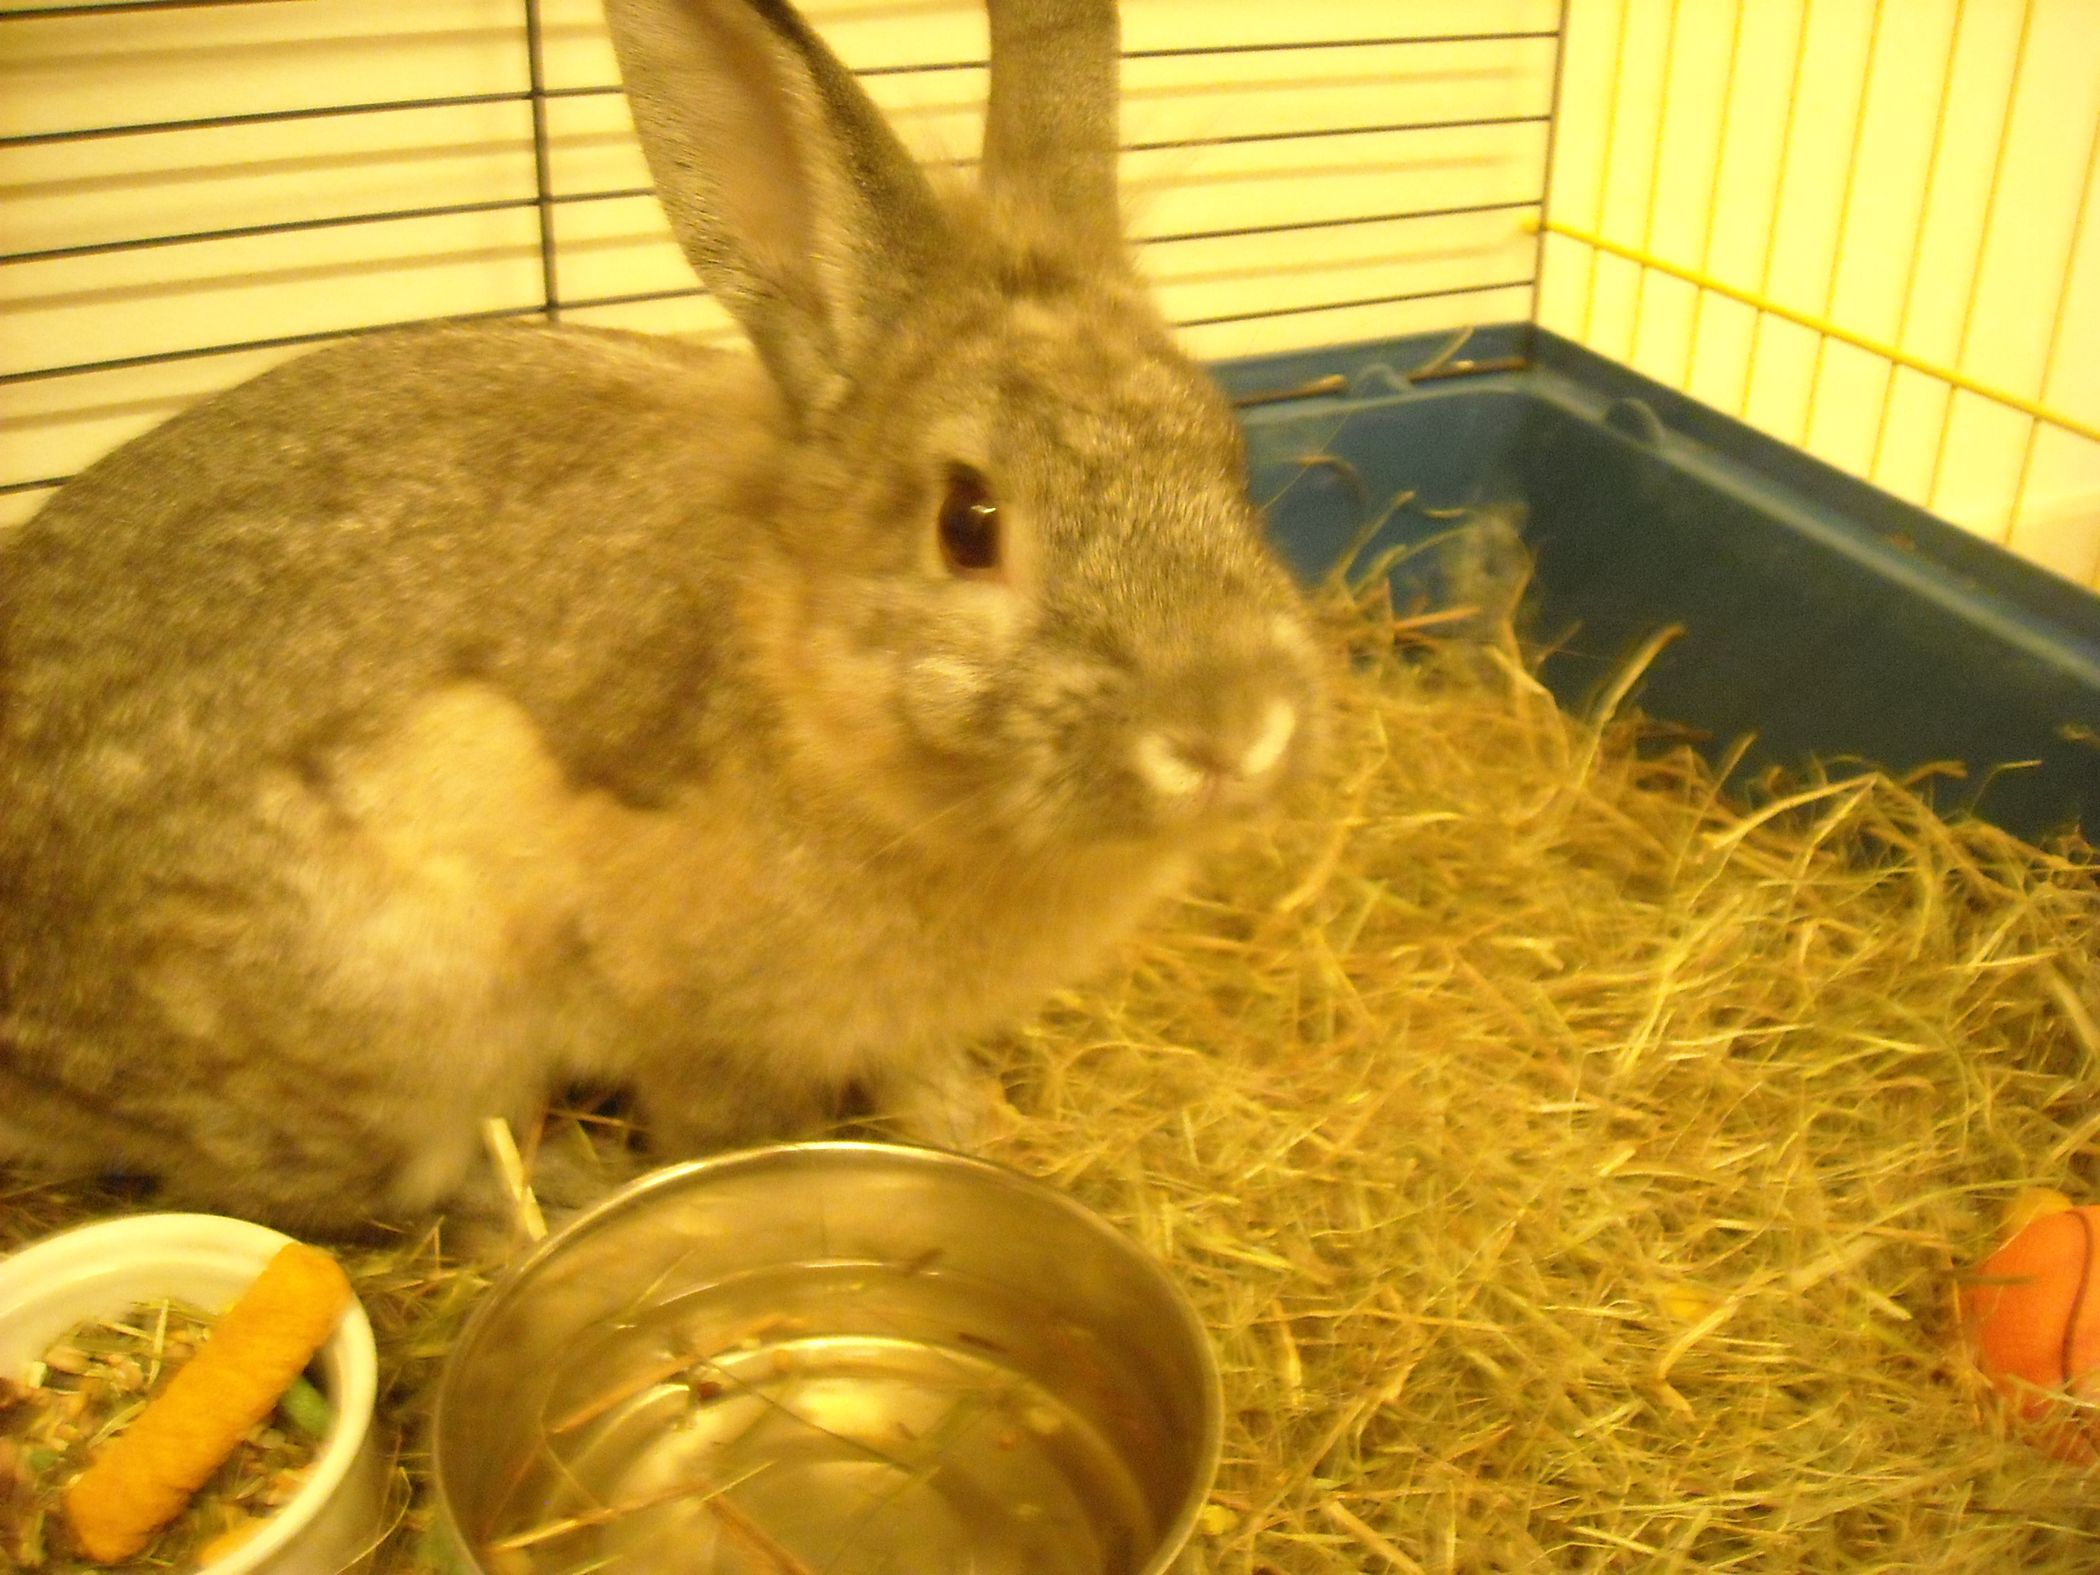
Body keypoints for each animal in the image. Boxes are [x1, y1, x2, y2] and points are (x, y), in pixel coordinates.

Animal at [0, 0, 1323, 1234]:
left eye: (1228, 453)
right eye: (969, 521)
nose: (1233, 732)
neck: (810, 691)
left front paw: (964, 1123)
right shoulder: (697, 1023)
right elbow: (721, 1118)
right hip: (390, 1018)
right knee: (428, 1175)